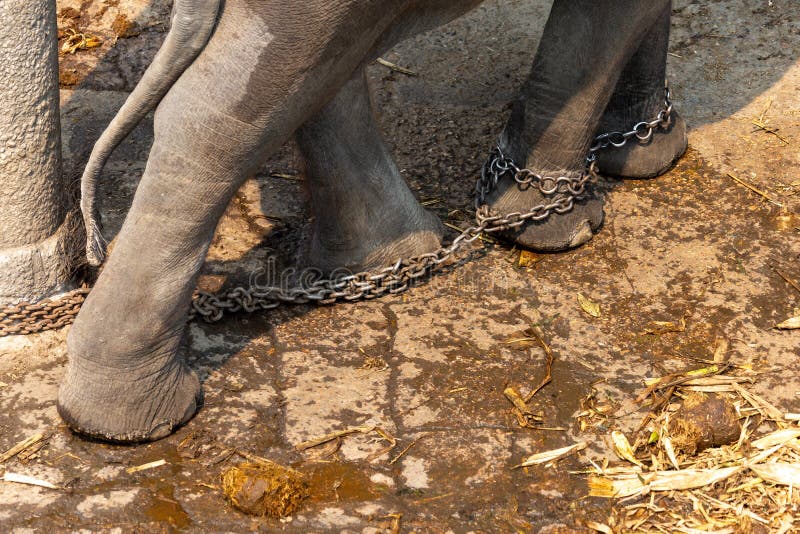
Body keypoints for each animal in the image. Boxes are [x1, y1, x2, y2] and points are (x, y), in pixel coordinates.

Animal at [59, 0, 688, 442]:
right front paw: (555, 227)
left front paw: (645, 151)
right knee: (225, 101)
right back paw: (124, 423)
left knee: (316, 65)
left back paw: (385, 261)